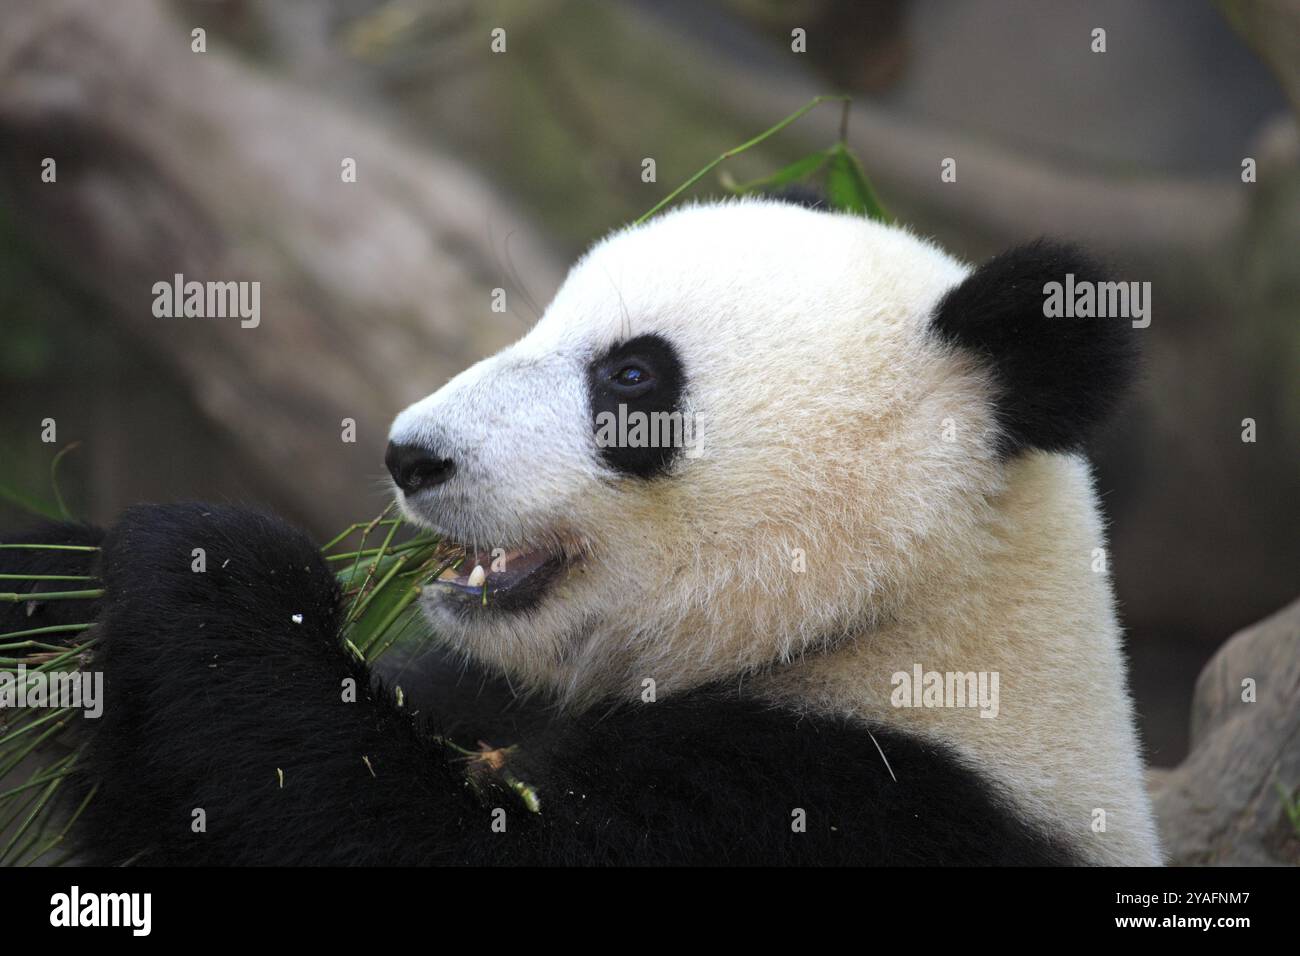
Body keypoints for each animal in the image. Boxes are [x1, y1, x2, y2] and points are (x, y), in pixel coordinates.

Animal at [1, 196, 1159, 866]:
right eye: (539, 319)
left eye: (631, 376)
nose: (411, 455)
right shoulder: (483, 686)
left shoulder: (845, 802)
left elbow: (389, 834)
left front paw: (212, 563)